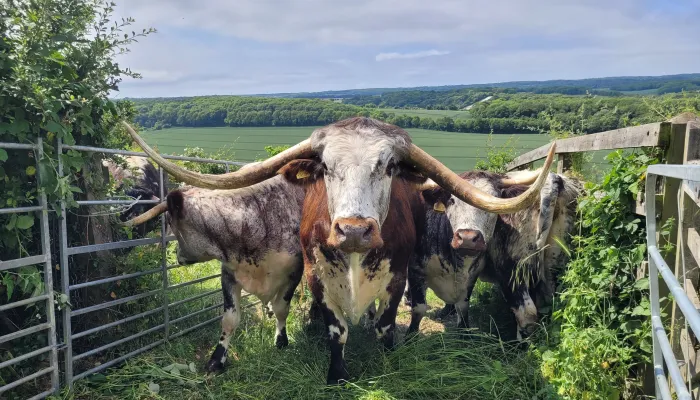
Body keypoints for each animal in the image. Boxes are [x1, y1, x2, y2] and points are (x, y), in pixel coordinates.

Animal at [123, 175, 306, 373]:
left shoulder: (295, 274)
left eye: (170, 222)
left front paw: (281, 340)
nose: (177, 255)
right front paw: (217, 359)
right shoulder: (228, 276)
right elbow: (230, 319)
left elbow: (282, 309)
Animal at [407, 169, 581, 340]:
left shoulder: (417, 269)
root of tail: (555, 179)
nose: (467, 238)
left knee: (526, 313)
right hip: (554, 266)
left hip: (512, 271)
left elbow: (420, 308)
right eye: (451, 200)